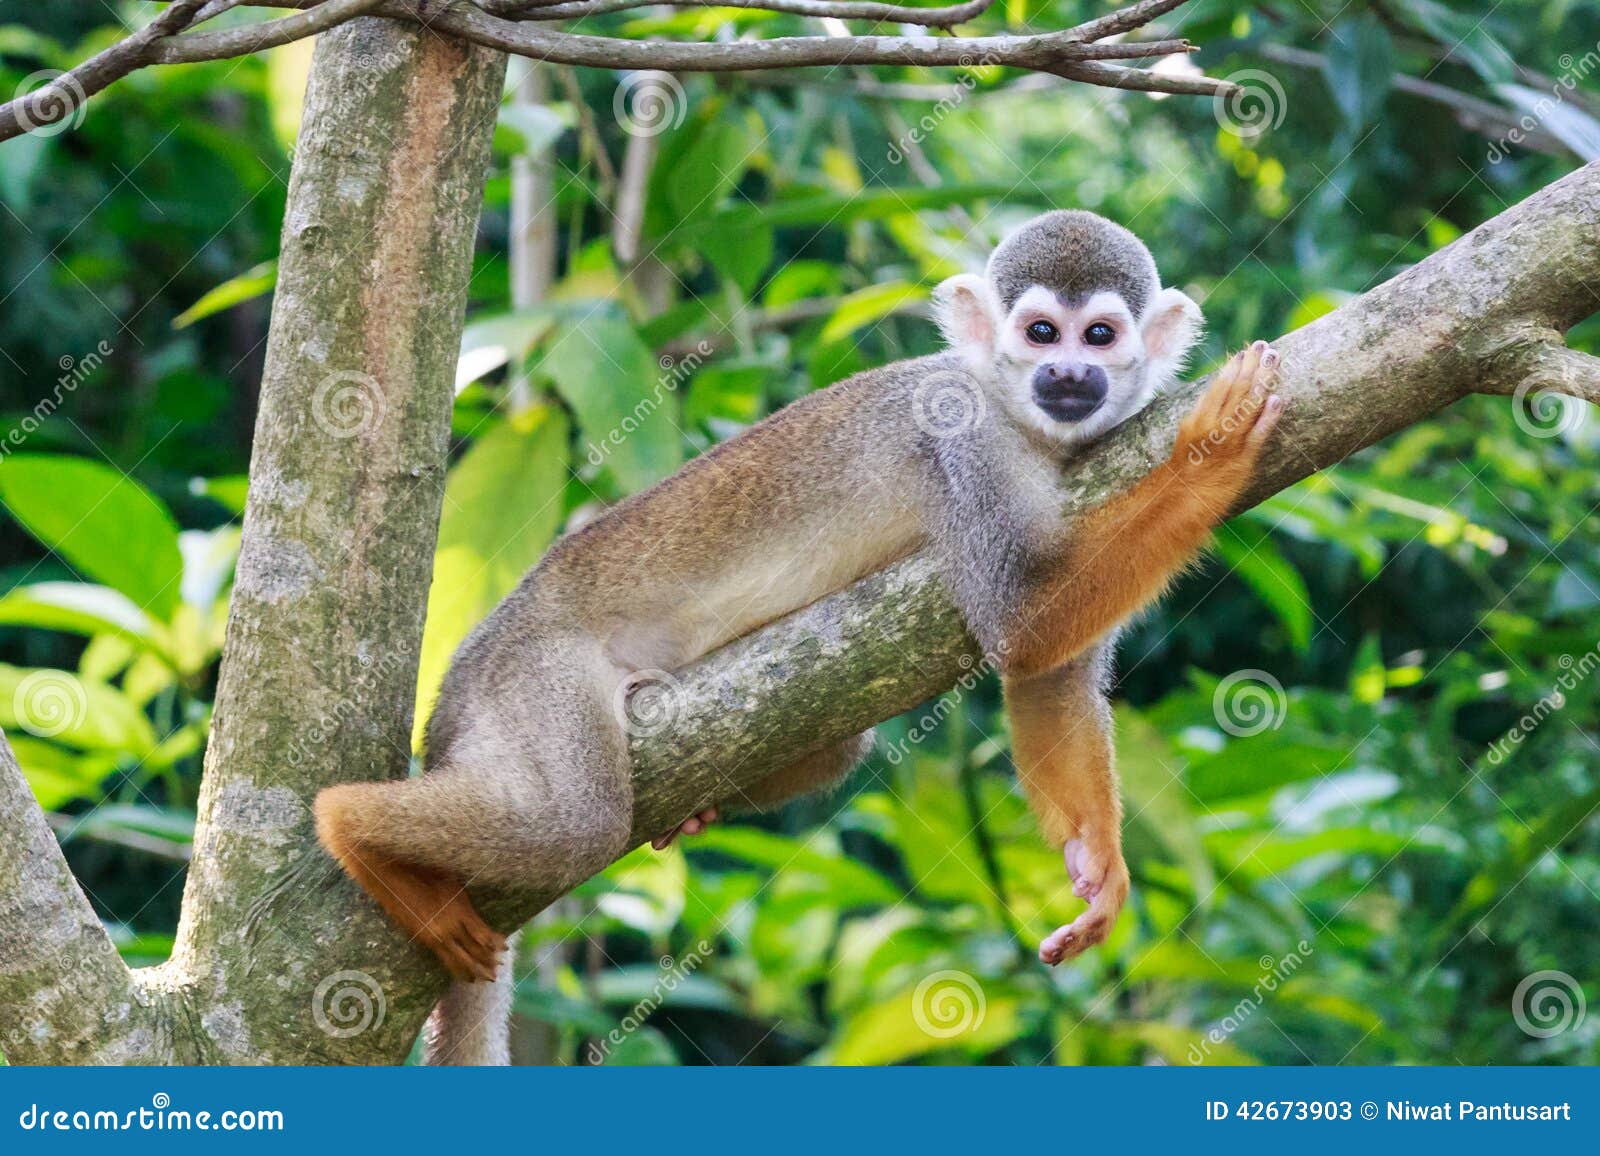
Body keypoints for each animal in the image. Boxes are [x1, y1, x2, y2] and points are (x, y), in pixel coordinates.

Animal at [313, 209, 1284, 1063]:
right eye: (1042, 333)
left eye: (1100, 337)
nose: (1071, 378)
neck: (1026, 426)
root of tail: (461, 688)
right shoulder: (958, 441)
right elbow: (1022, 621)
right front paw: (1215, 446)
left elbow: (1046, 671)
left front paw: (1096, 862)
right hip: (523, 676)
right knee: (569, 822)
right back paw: (352, 826)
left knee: (829, 746)